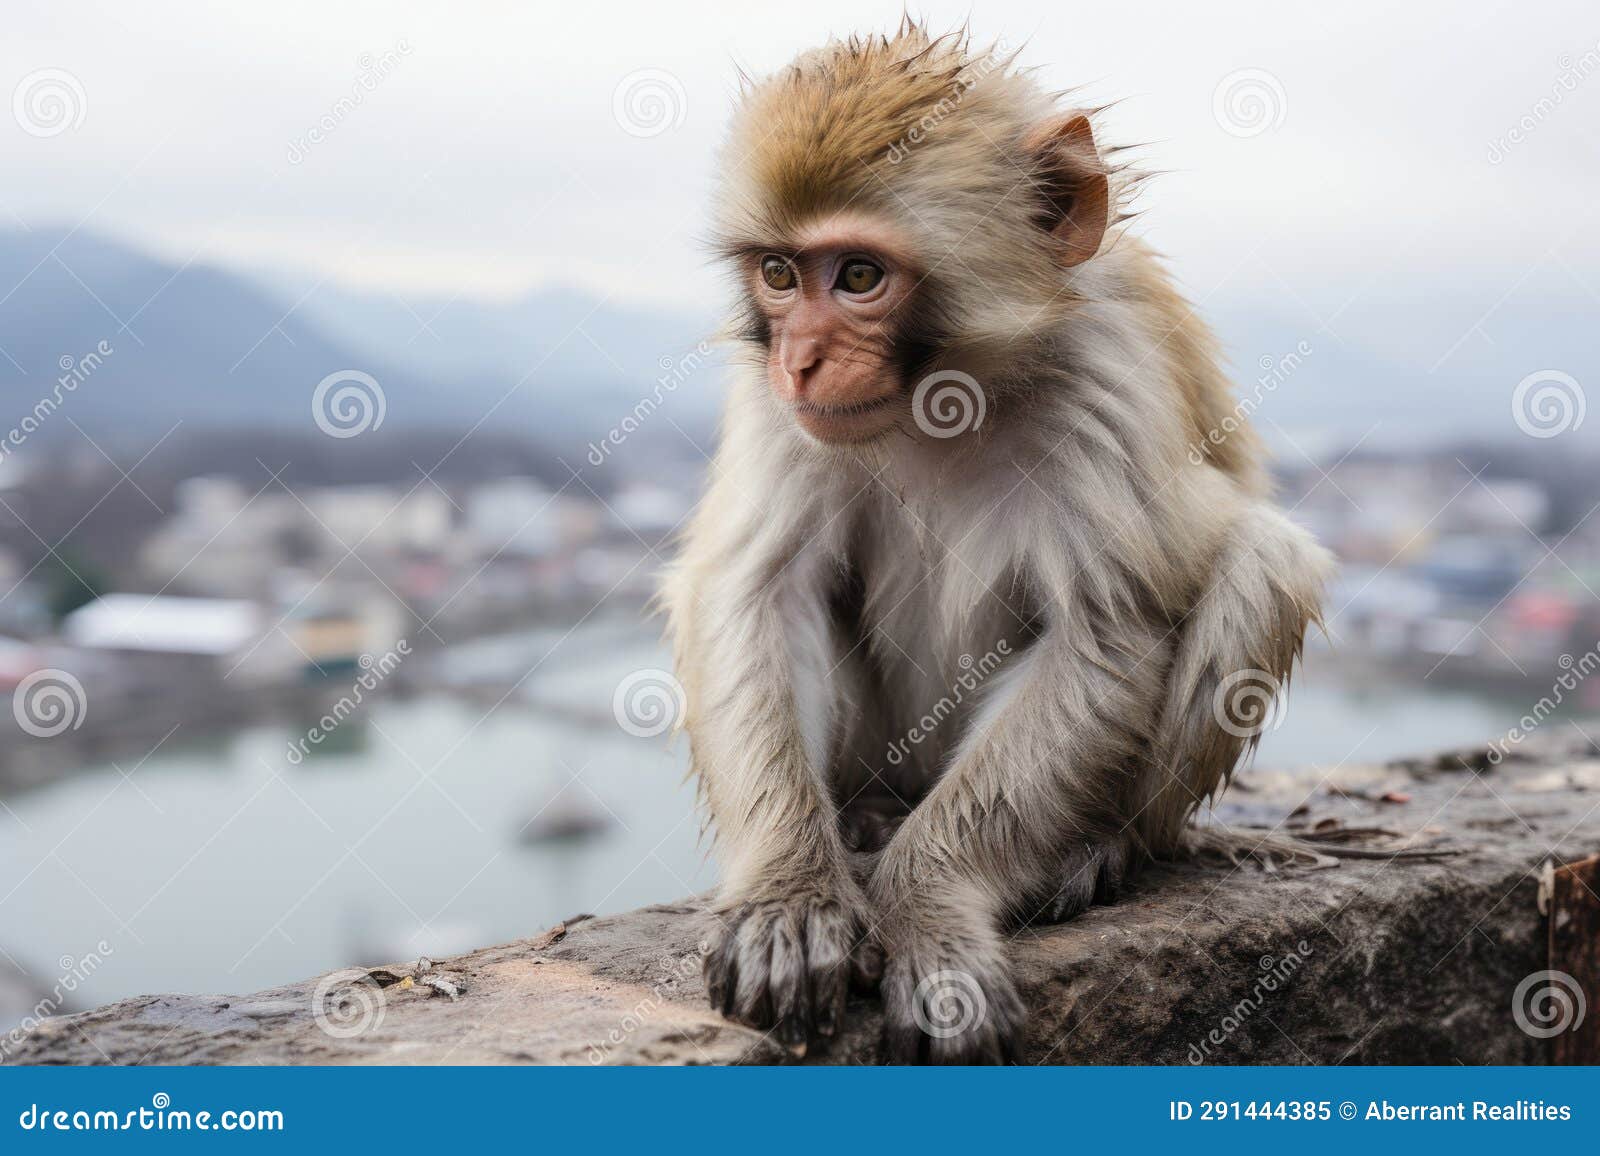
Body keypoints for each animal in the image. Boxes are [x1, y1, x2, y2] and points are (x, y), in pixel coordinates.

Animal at [661, 21, 1331, 1064]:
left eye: (858, 276)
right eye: (779, 274)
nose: (800, 359)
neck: (945, 398)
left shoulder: (1104, 381)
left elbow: (1101, 636)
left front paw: (929, 909)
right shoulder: (780, 414)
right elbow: (757, 594)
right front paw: (790, 900)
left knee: (1267, 561)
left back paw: (1098, 848)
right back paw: (863, 821)